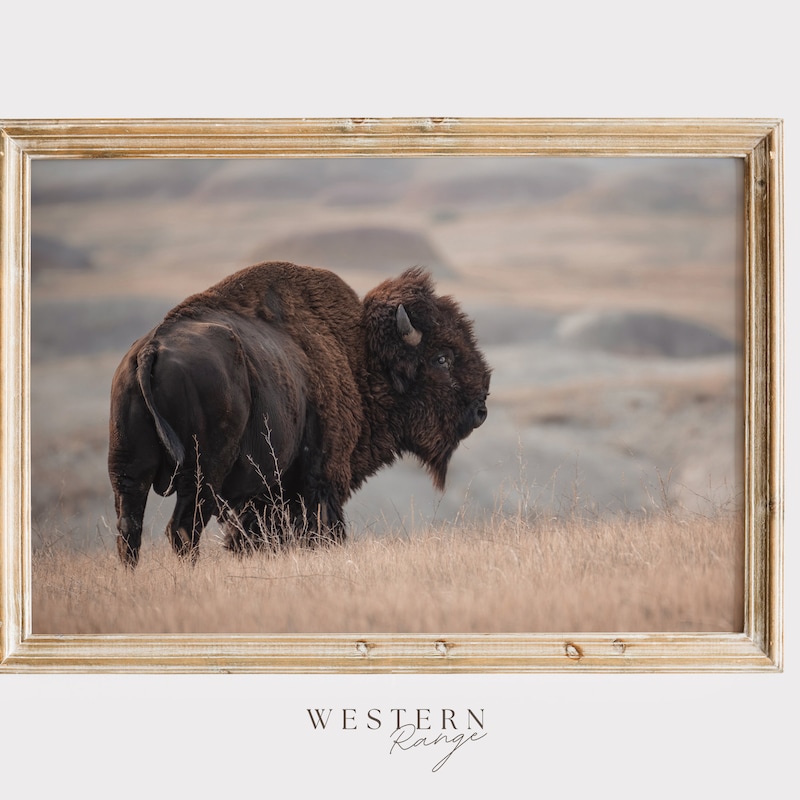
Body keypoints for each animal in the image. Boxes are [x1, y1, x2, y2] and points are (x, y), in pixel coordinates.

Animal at [108, 262, 490, 567]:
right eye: (442, 358)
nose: (481, 409)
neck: (358, 356)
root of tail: (151, 350)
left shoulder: (261, 495)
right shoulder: (319, 479)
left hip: (128, 470)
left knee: (130, 528)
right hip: (202, 475)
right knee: (182, 530)